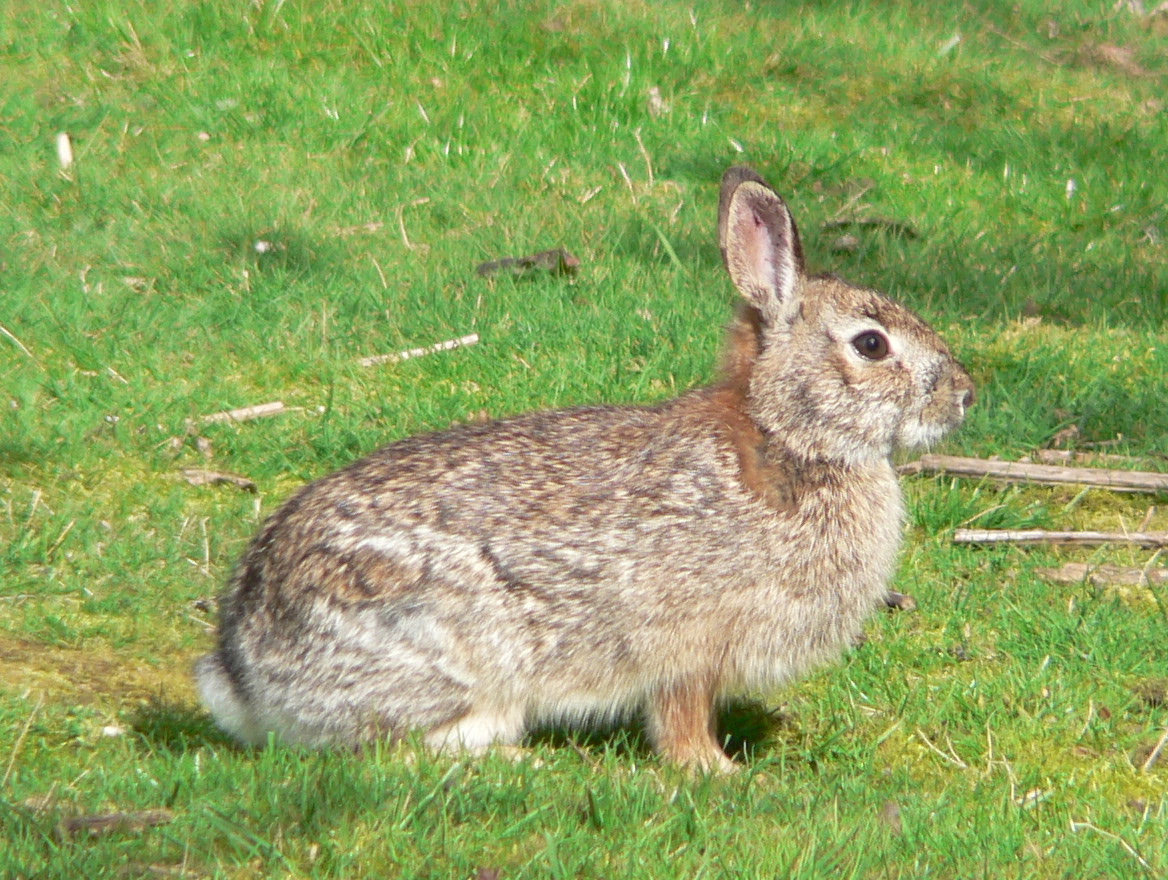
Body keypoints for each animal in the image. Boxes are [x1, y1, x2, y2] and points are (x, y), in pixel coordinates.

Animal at [196, 165, 974, 772]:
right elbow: (680, 719)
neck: (786, 438)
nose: (965, 396)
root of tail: (243, 670)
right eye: (871, 345)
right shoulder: (687, 647)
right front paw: (718, 773)